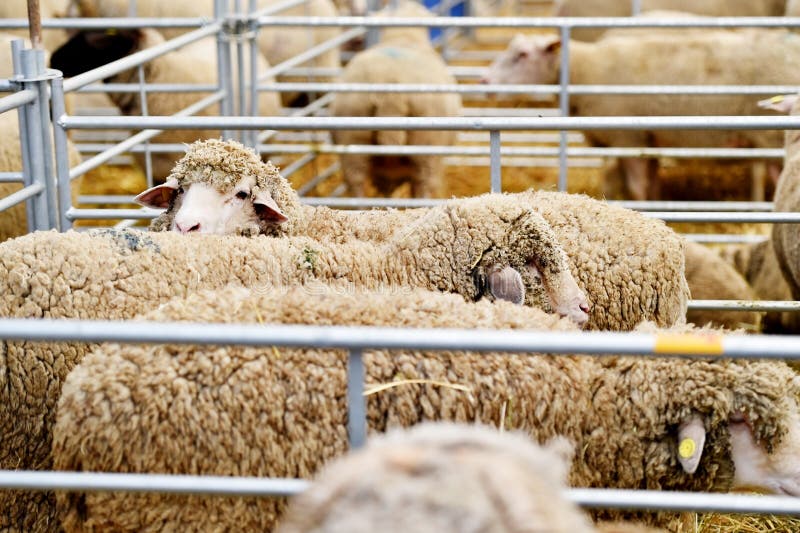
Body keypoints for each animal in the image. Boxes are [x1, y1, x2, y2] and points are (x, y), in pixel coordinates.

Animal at [328, 1, 461, 198]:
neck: (402, 36)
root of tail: (391, 90)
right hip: (427, 150)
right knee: (423, 185)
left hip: (352, 141)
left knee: (356, 183)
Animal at [481, 30, 800, 200]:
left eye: (522, 55)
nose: (484, 82)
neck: (586, 69)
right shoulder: (646, 138)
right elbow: (646, 182)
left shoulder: (627, 137)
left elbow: (636, 188)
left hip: (772, 137)